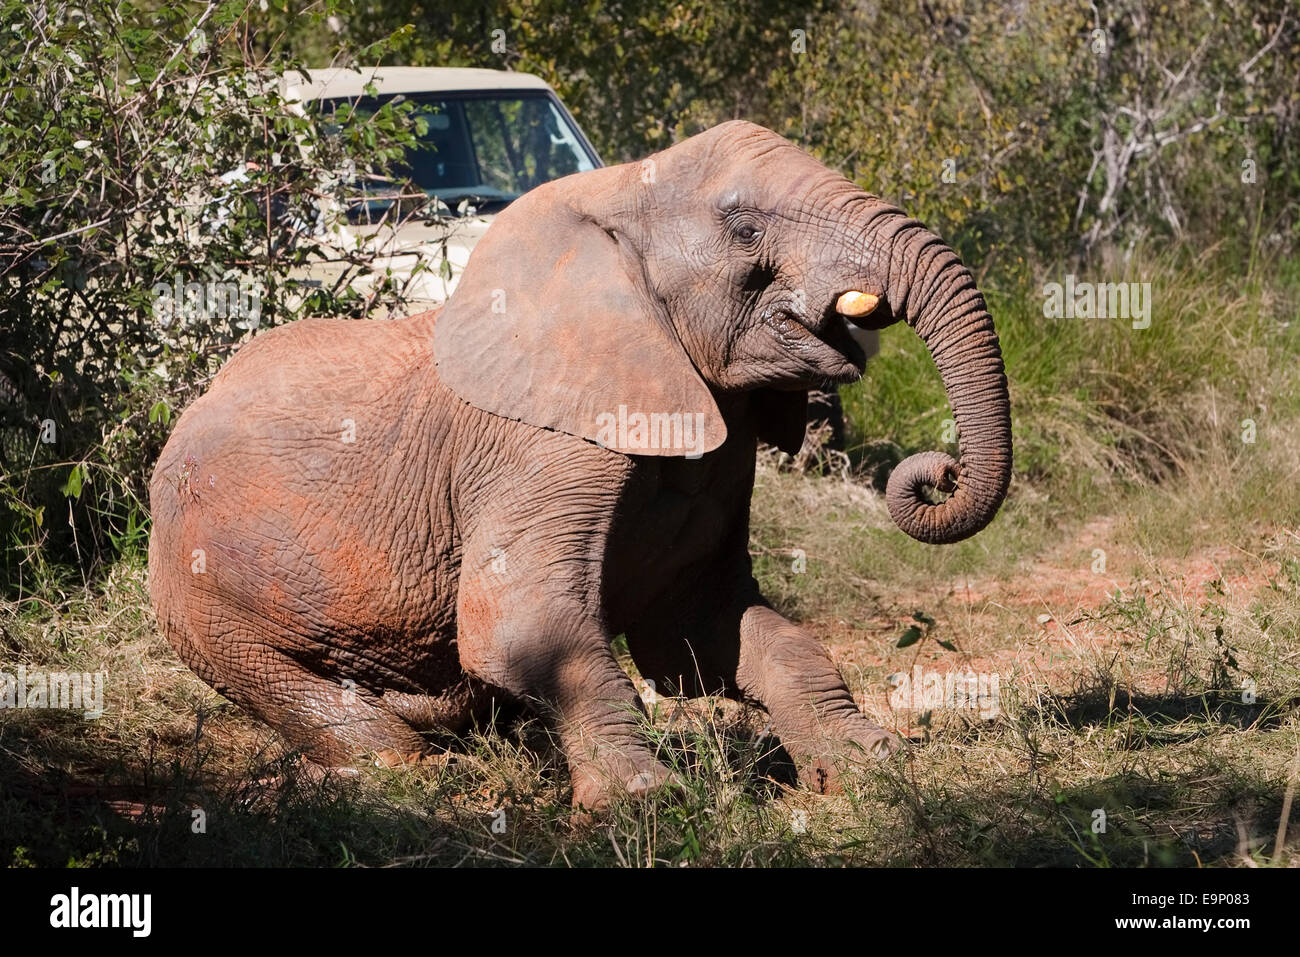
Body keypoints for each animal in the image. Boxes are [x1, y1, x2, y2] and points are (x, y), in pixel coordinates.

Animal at [147, 120, 1011, 809]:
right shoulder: (539, 448)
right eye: (744, 227)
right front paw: (648, 800)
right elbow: (520, 624)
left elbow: (701, 627)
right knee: (336, 713)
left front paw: (873, 765)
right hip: (202, 601)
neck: (622, 192)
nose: (936, 471)